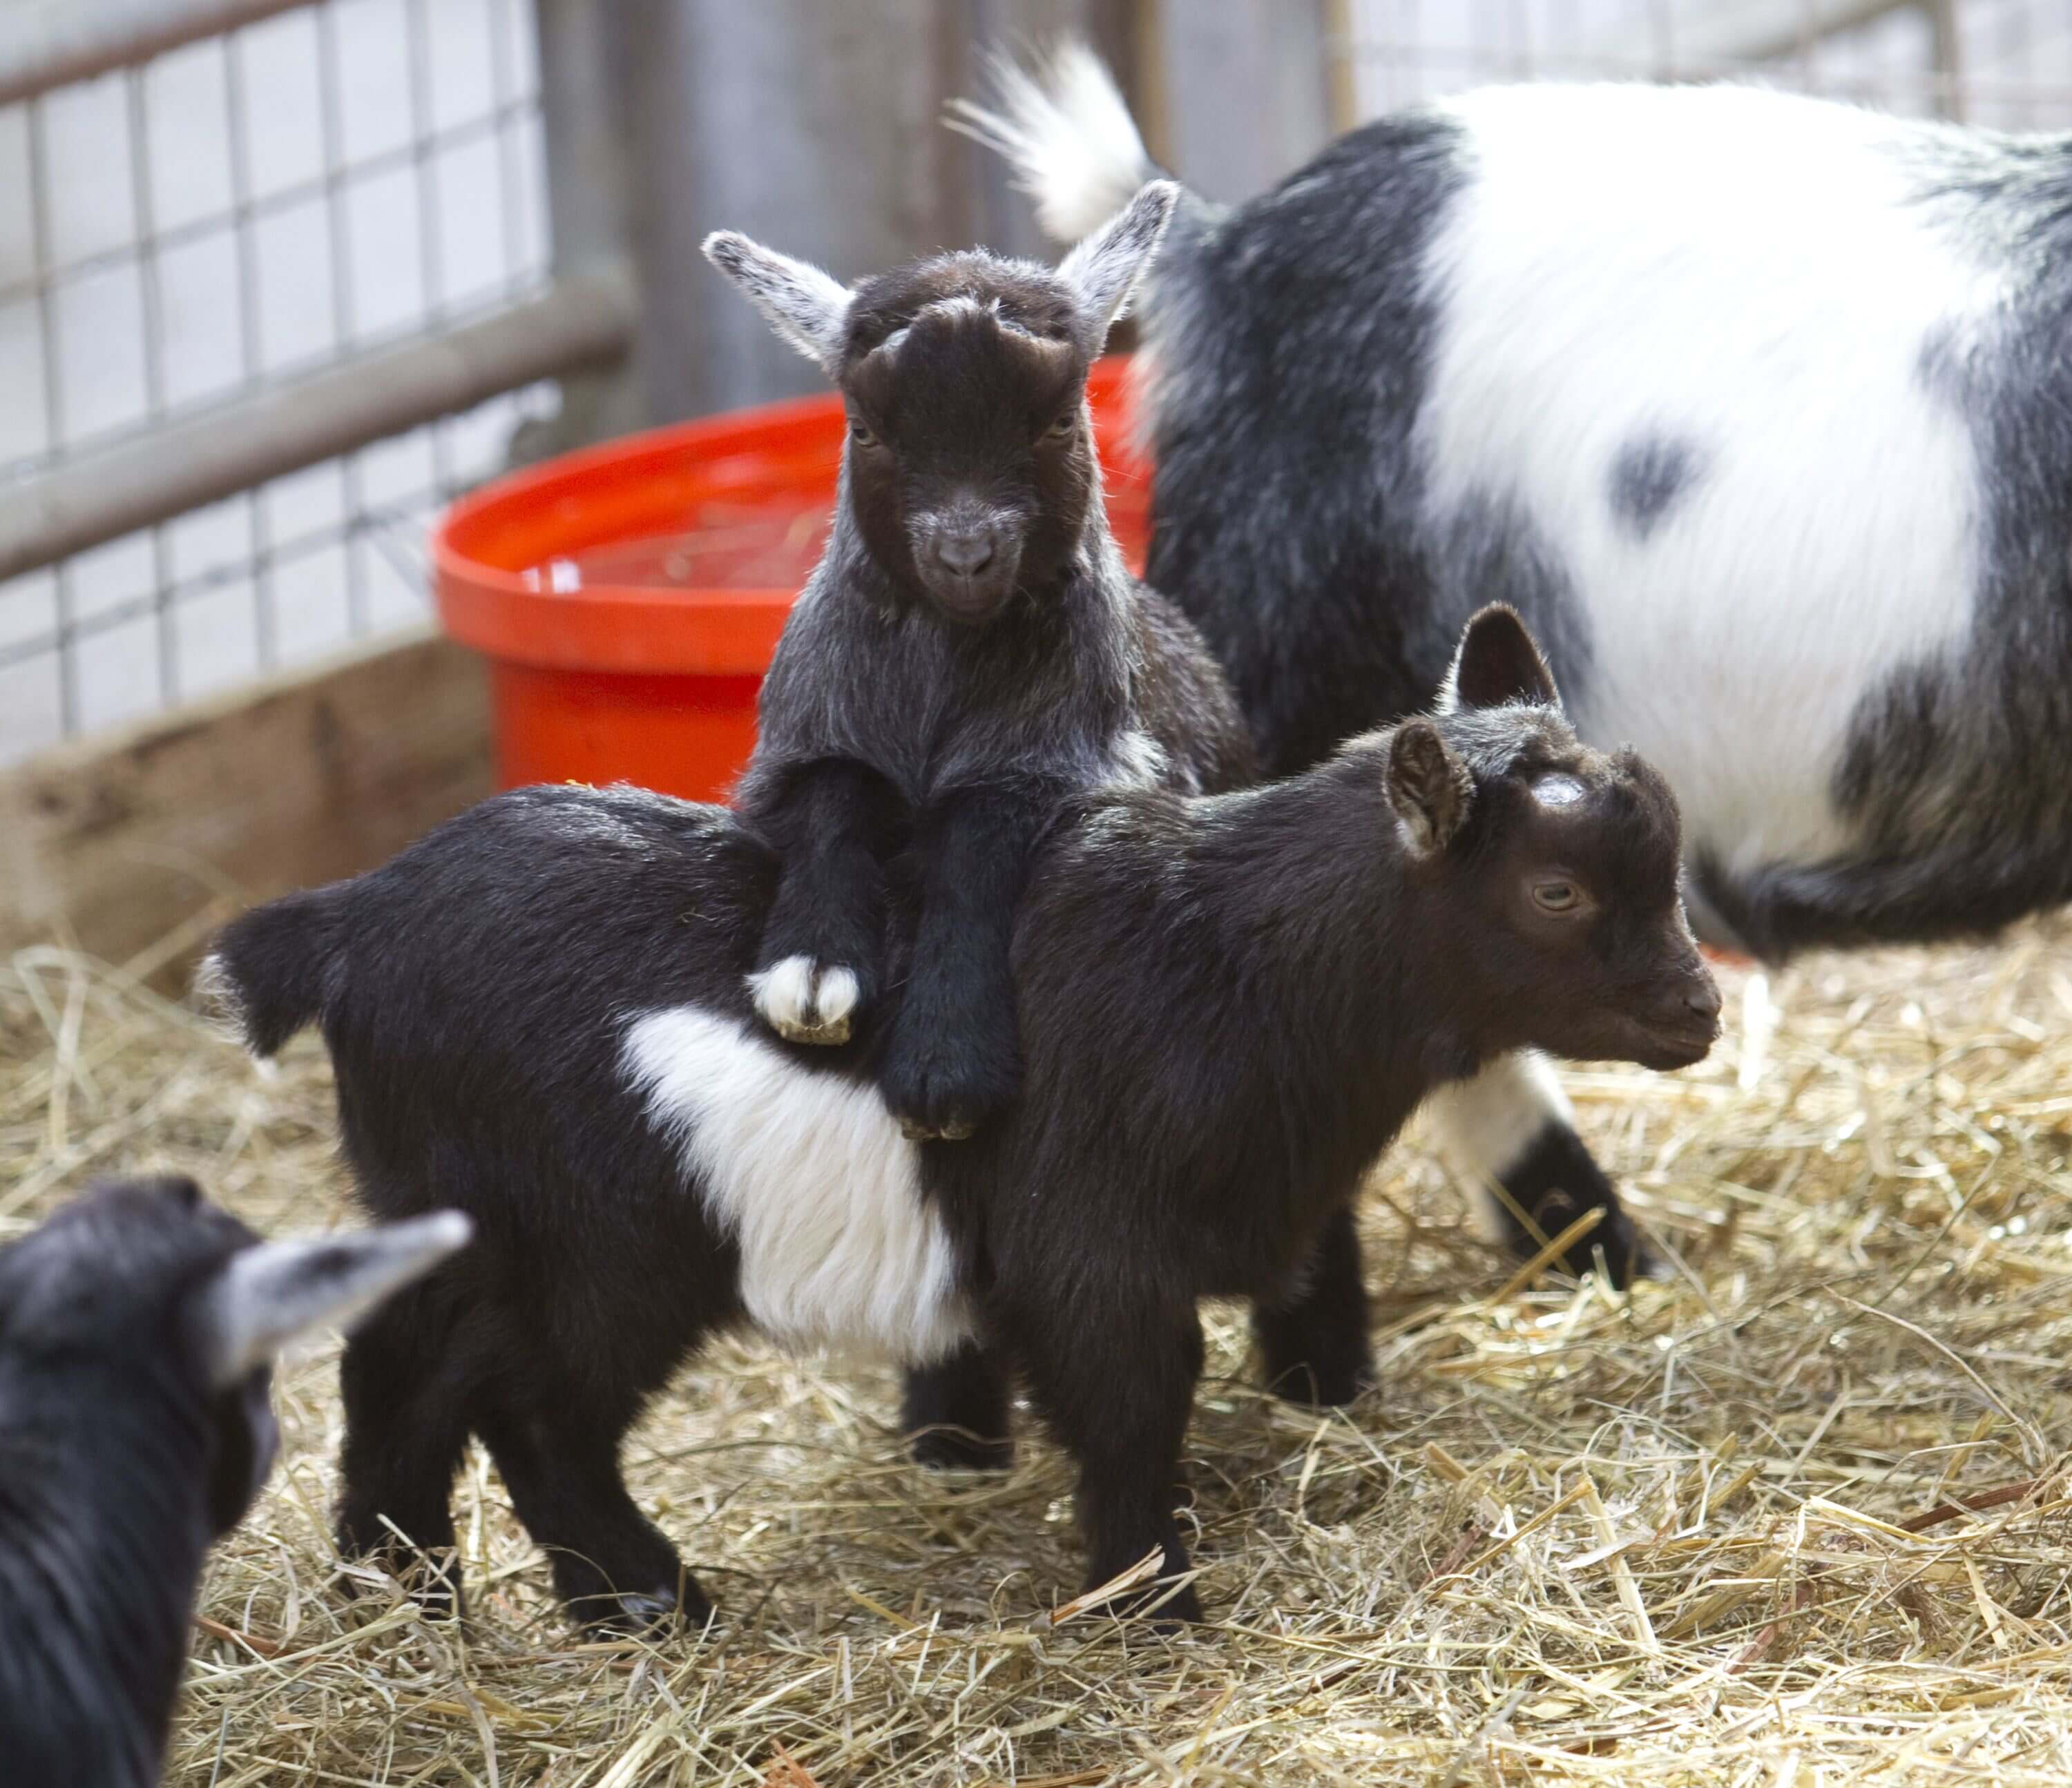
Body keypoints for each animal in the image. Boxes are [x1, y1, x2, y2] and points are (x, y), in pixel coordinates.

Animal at [200, 606, 1719, 1629]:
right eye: (1557, 890)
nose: (1698, 1008)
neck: (1221, 953)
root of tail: (351, 921)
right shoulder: (1089, 1247)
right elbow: (1133, 1400)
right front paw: (1149, 1596)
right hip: (601, 1238)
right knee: (537, 1405)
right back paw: (651, 1600)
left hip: (439, 1198)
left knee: (399, 1359)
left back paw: (401, 1583)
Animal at [701, 181, 1255, 1152]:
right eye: (866, 430)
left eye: (1058, 420)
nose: (965, 556)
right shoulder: (808, 737)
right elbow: (831, 802)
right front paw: (812, 976)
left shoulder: (1060, 765)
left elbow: (975, 849)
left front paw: (945, 1067)